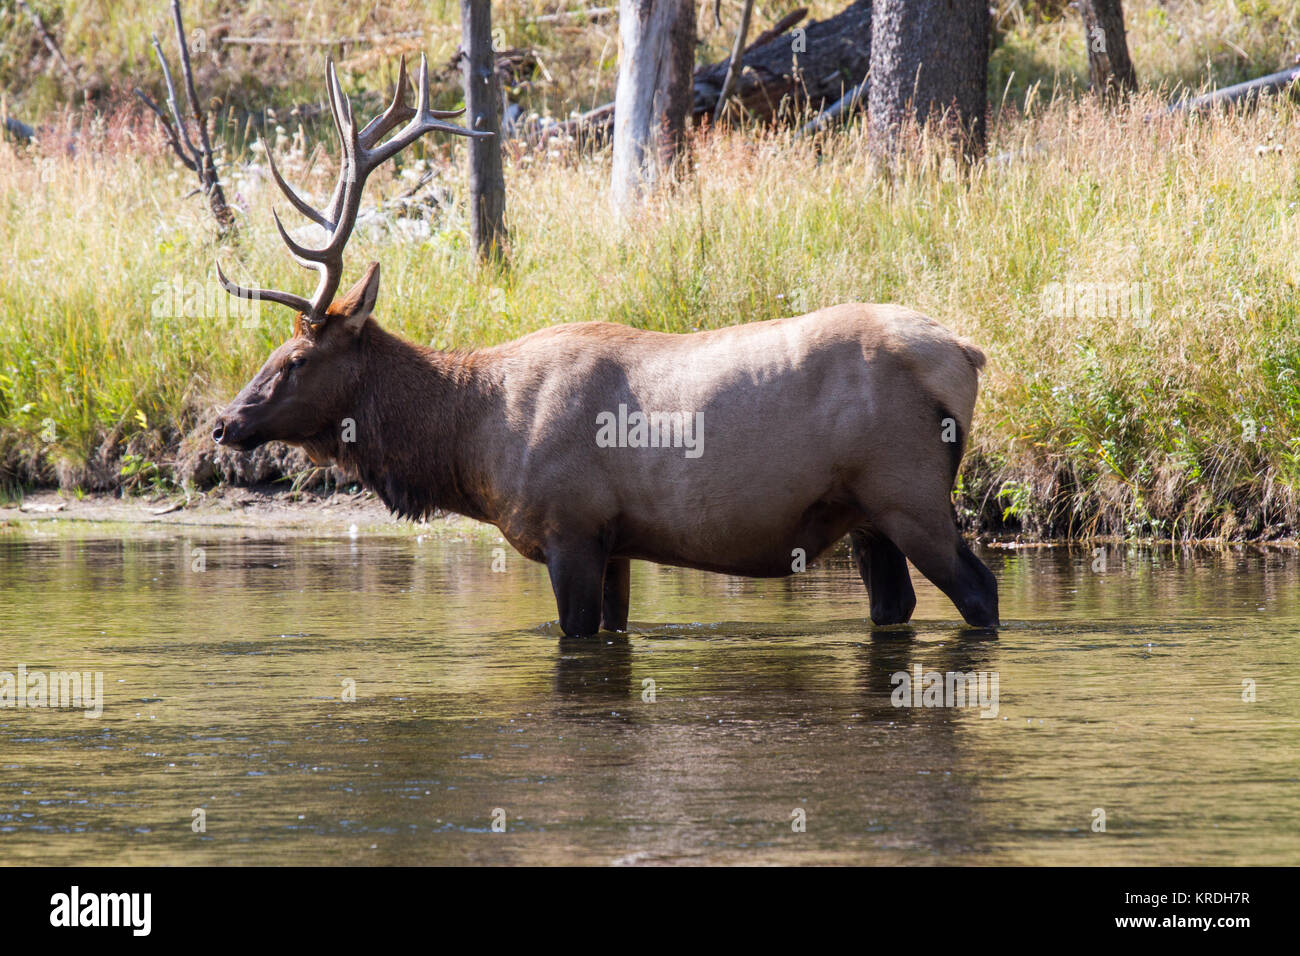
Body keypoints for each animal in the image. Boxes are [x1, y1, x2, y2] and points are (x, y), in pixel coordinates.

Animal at [212, 56, 1000, 638]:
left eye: (295, 361)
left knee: (980, 587)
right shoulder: (616, 543)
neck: (471, 442)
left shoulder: (571, 527)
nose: (224, 423)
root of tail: (966, 356)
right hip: (869, 517)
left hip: (907, 489)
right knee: (896, 605)